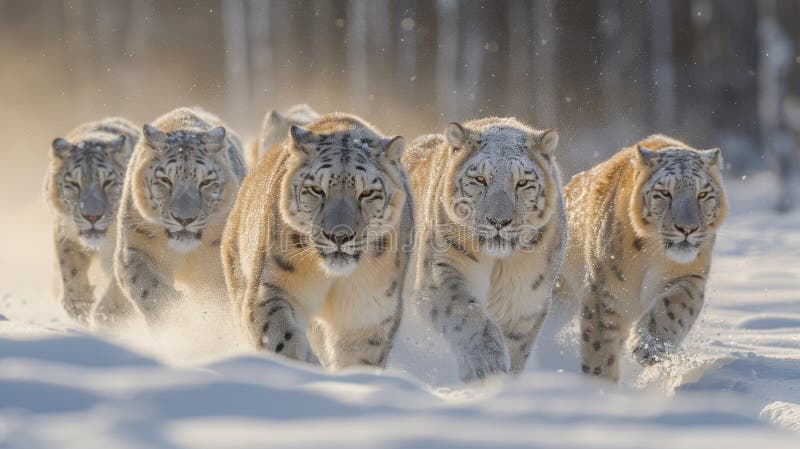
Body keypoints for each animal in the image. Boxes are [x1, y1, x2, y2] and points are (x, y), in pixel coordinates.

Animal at [44, 117, 139, 325]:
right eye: (74, 184)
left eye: (108, 182)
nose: (92, 216)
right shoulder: (65, 234)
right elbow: (70, 268)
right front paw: (78, 306)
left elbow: (120, 285)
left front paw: (106, 314)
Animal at [114, 107, 246, 325]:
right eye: (165, 180)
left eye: (206, 182)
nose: (185, 219)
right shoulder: (132, 247)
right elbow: (146, 284)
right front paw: (171, 312)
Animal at [222, 113, 413, 368]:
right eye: (316, 189)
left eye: (367, 193)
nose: (339, 235)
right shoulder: (273, 285)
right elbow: (279, 333)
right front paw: (307, 366)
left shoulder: (368, 313)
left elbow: (360, 357)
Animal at [402, 117, 566, 383]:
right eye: (480, 179)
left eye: (522, 183)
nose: (498, 220)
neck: (498, 265)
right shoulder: (440, 270)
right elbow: (464, 310)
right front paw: (486, 362)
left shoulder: (527, 296)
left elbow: (517, 344)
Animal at [557, 134, 728, 382]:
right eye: (665, 193)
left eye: (703, 194)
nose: (687, 228)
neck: (654, 256)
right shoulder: (606, 291)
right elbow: (599, 344)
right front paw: (599, 383)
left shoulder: (691, 276)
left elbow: (675, 305)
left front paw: (649, 348)